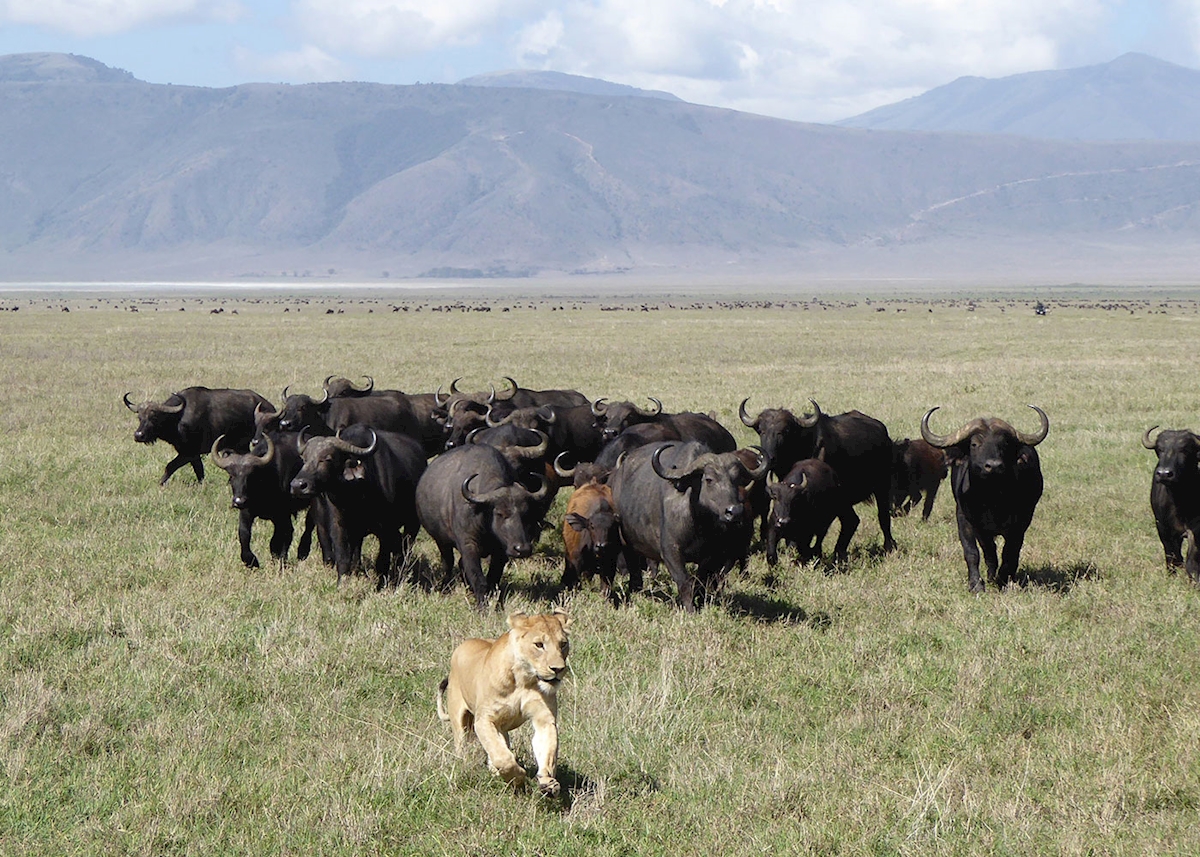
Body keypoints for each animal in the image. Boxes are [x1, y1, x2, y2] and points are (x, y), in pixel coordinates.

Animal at [436, 608, 570, 796]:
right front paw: (518, 779)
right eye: (539, 645)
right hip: (460, 722)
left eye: (563, 644)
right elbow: (502, 758)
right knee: (464, 746)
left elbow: (548, 750)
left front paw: (548, 783)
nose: (558, 669)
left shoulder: (544, 719)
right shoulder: (484, 719)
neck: (524, 678)